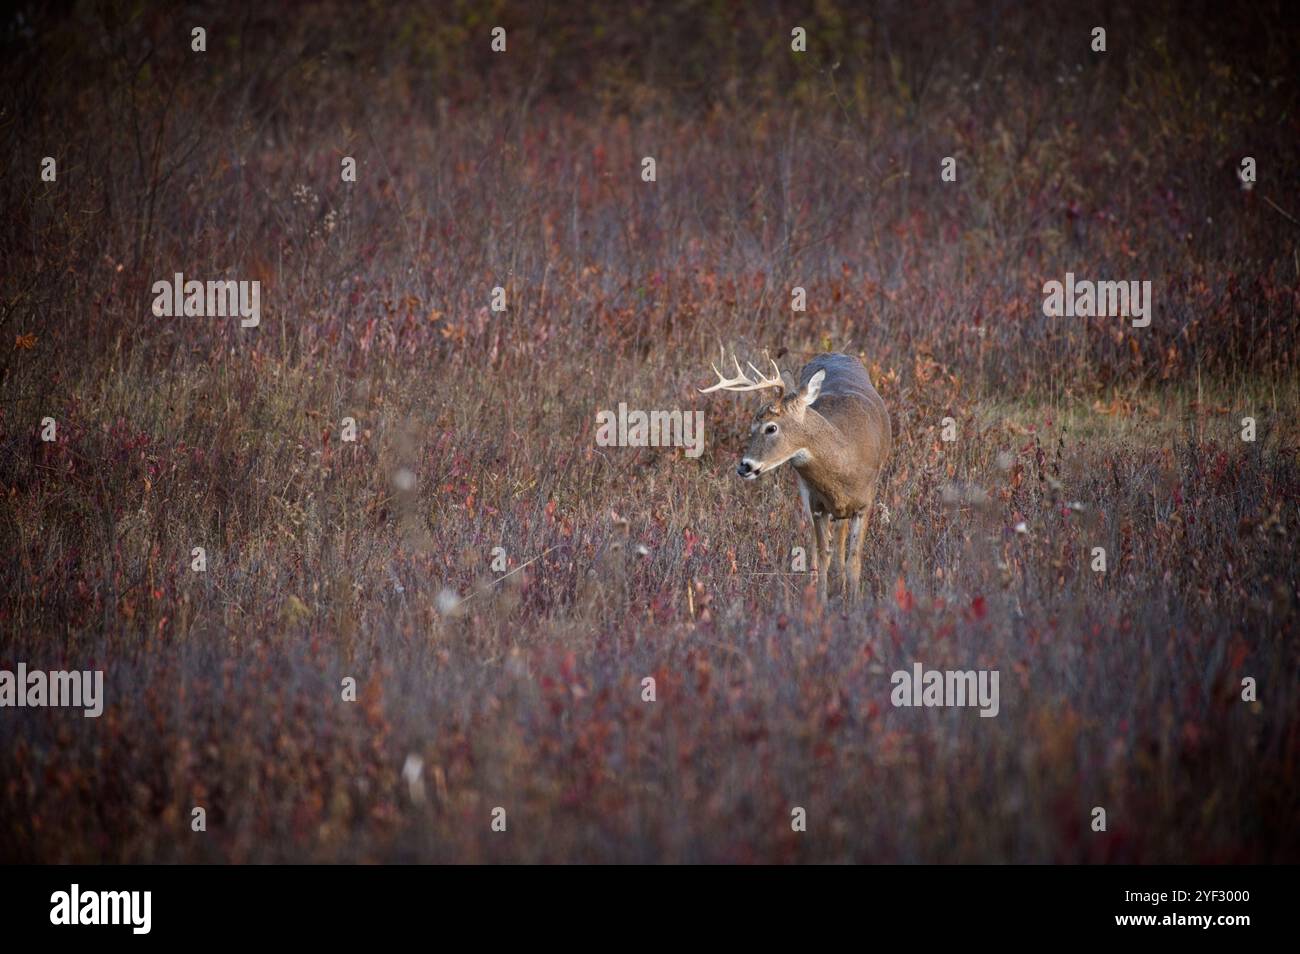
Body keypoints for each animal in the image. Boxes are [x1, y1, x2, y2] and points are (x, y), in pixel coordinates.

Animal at [699, 349, 891, 602]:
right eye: (751, 428)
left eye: (771, 427)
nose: (744, 467)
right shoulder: (817, 503)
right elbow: (822, 554)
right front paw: (821, 602)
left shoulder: (865, 503)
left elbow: (854, 560)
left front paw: (854, 602)